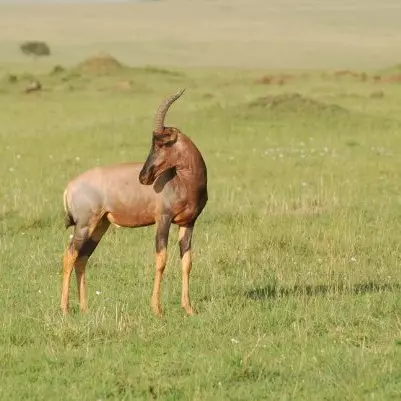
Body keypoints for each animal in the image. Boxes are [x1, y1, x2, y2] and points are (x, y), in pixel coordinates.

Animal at [61, 90, 209, 316]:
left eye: (162, 143)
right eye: (155, 142)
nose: (144, 177)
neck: (181, 180)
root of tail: (70, 186)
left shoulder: (188, 222)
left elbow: (187, 262)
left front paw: (189, 308)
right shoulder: (163, 219)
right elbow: (161, 259)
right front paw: (157, 309)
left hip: (100, 225)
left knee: (82, 258)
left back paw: (85, 308)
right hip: (84, 225)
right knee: (69, 256)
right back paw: (65, 309)